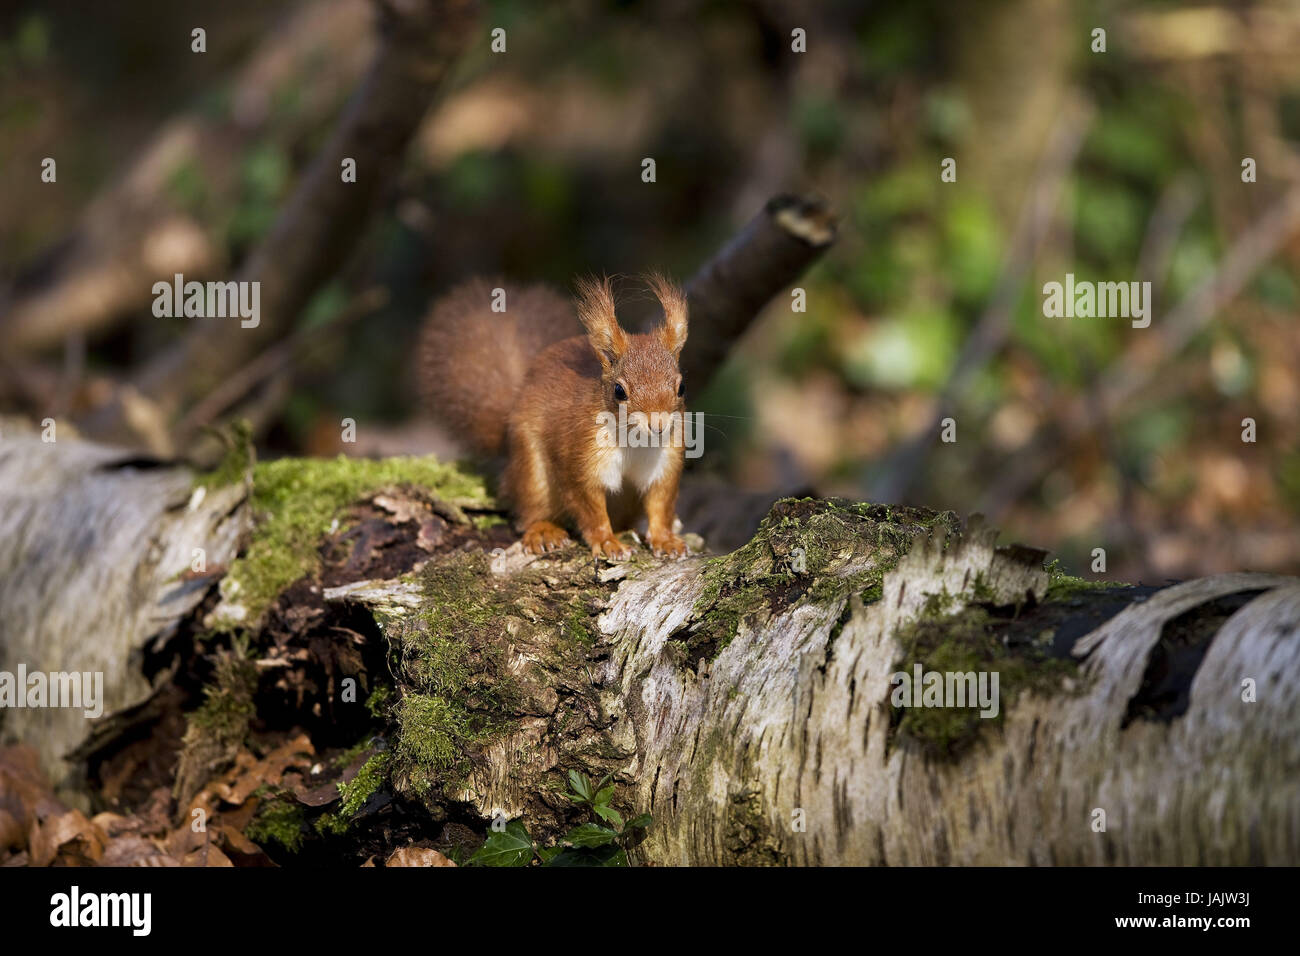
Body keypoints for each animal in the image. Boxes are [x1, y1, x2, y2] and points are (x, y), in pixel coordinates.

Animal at [418, 274, 691, 560]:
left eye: (681, 387)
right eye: (619, 391)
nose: (658, 425)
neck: (635, 440)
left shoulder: (666, 462)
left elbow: (661, 503)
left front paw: (665, 540)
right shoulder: (578, 457)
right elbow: (588, 506)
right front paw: (606, 542)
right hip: (531, 469)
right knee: (531, 507)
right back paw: (543, 531)